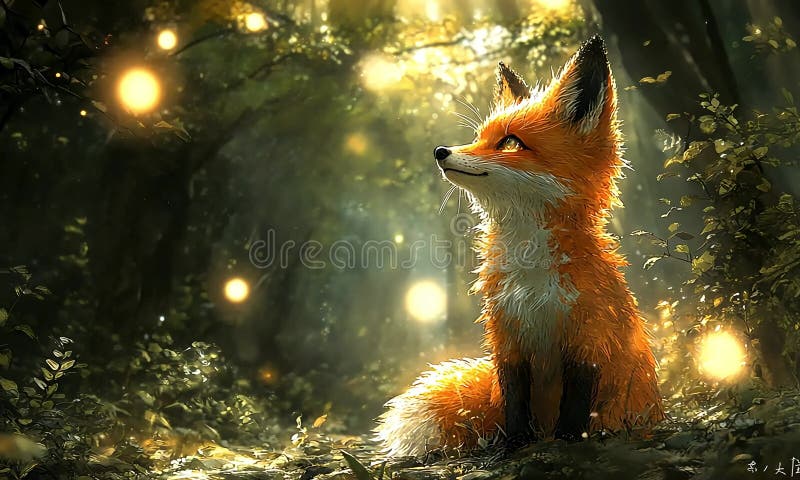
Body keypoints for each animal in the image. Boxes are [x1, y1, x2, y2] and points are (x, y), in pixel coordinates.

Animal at [375, 35, 665, 457]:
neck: (532, 280)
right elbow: (515, 404)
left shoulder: (588, 341)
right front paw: (515, 444)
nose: (440, 152)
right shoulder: (508, 339)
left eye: (511, 142)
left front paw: (569, 441)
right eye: (478, 137)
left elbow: (576, 407)